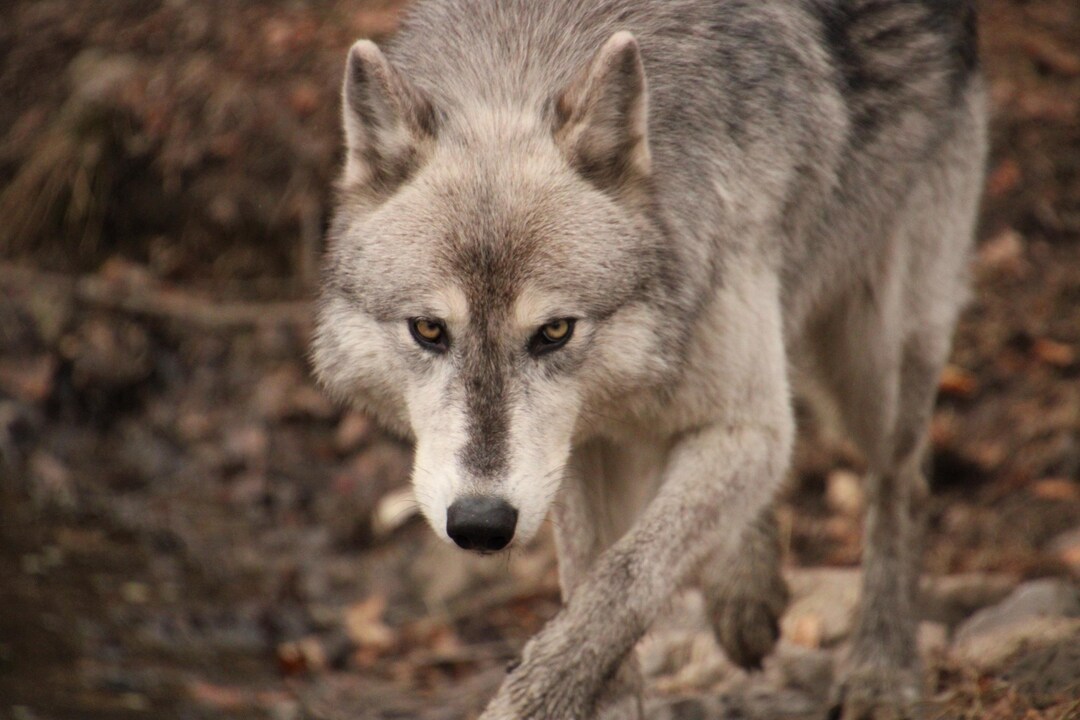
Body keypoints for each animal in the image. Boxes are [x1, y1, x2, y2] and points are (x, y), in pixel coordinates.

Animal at [312, 0, 986, 717]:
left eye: (554, 331)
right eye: (429, 330)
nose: (481, 524)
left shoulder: (743, 426)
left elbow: (626, 577)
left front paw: (535, 697)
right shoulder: (577, 446)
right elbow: (585, 570)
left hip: (872, 367)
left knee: (902, 480)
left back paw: (882, 667)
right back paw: (745, 590)